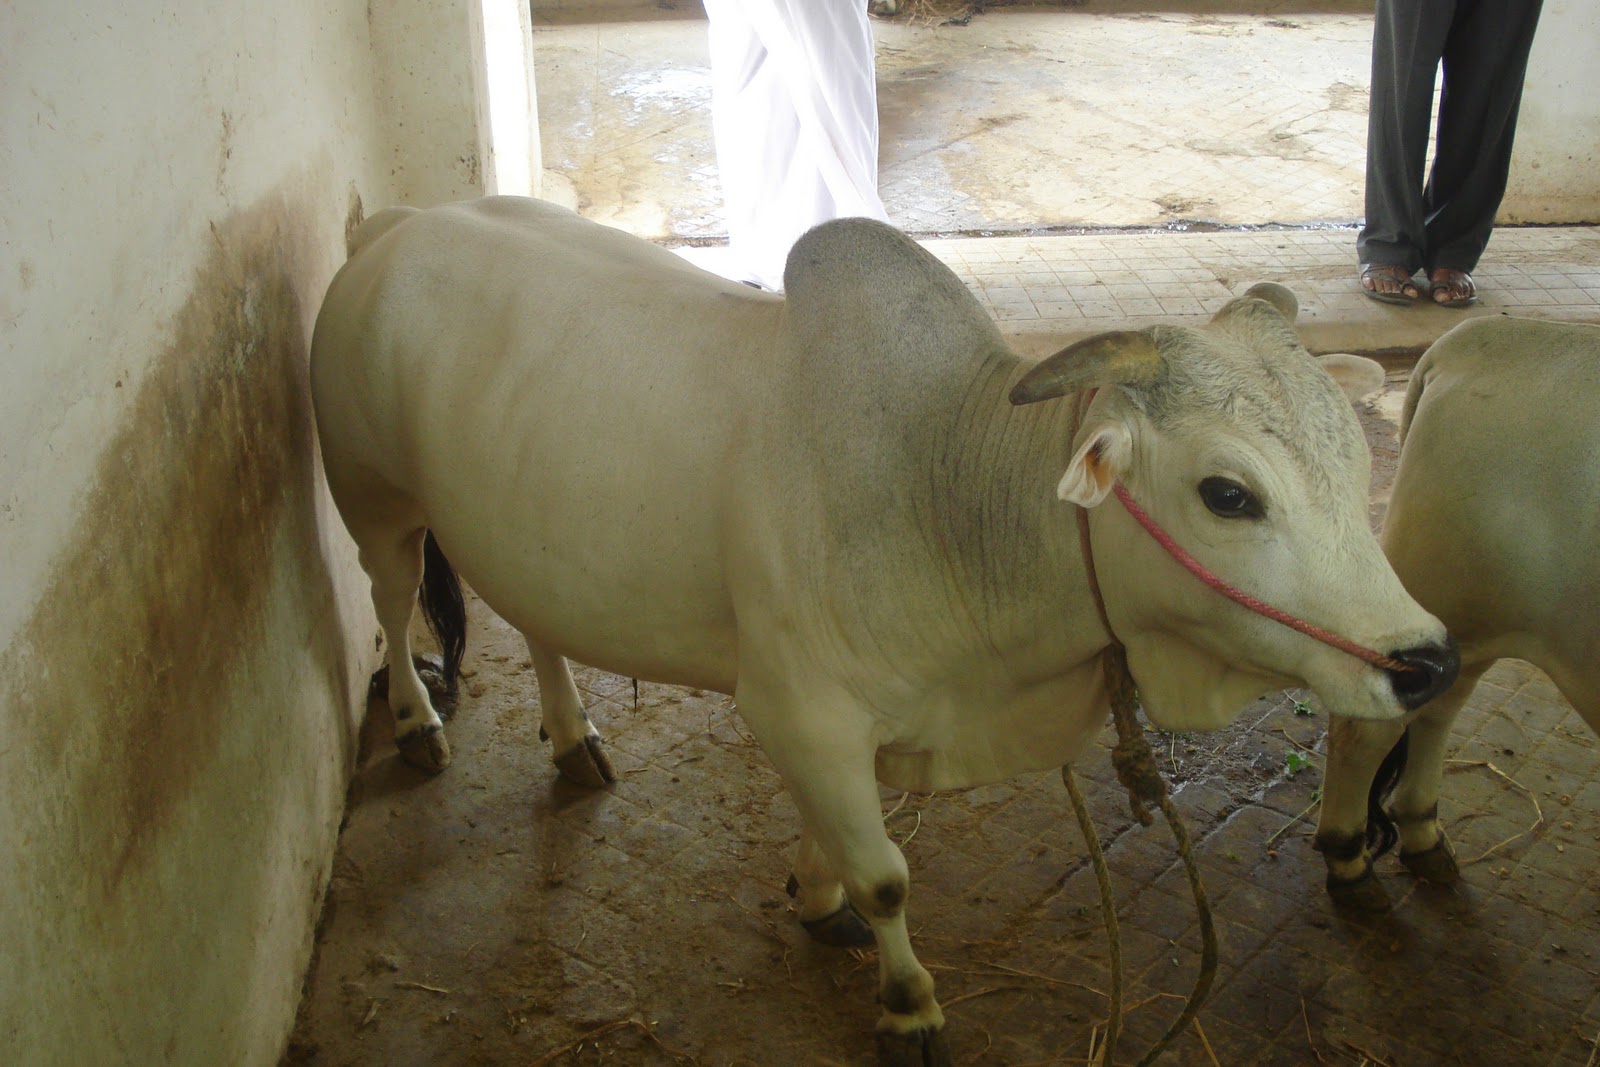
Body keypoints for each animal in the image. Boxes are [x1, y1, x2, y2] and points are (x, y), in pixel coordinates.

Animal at [309, 196, 1458, 1065]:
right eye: (1228, 493)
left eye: (1352, 458)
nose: (1426, 658)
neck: (940, 489)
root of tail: (393, 226)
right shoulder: (800, 710)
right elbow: (890, 874)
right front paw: (908, 1005)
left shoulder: (833, 728)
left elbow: (838, 842)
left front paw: (814, 895)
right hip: (375, 505)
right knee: (387, 605)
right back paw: (417, 724)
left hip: (515, 532)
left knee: (534, 624)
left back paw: (572, 735)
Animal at [1315, 316, 1600, 909]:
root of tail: (1472, 336)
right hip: (1446, 591)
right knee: (1369, 728)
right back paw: (1350, 861)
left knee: (1436, 707)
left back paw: (1423, 835)